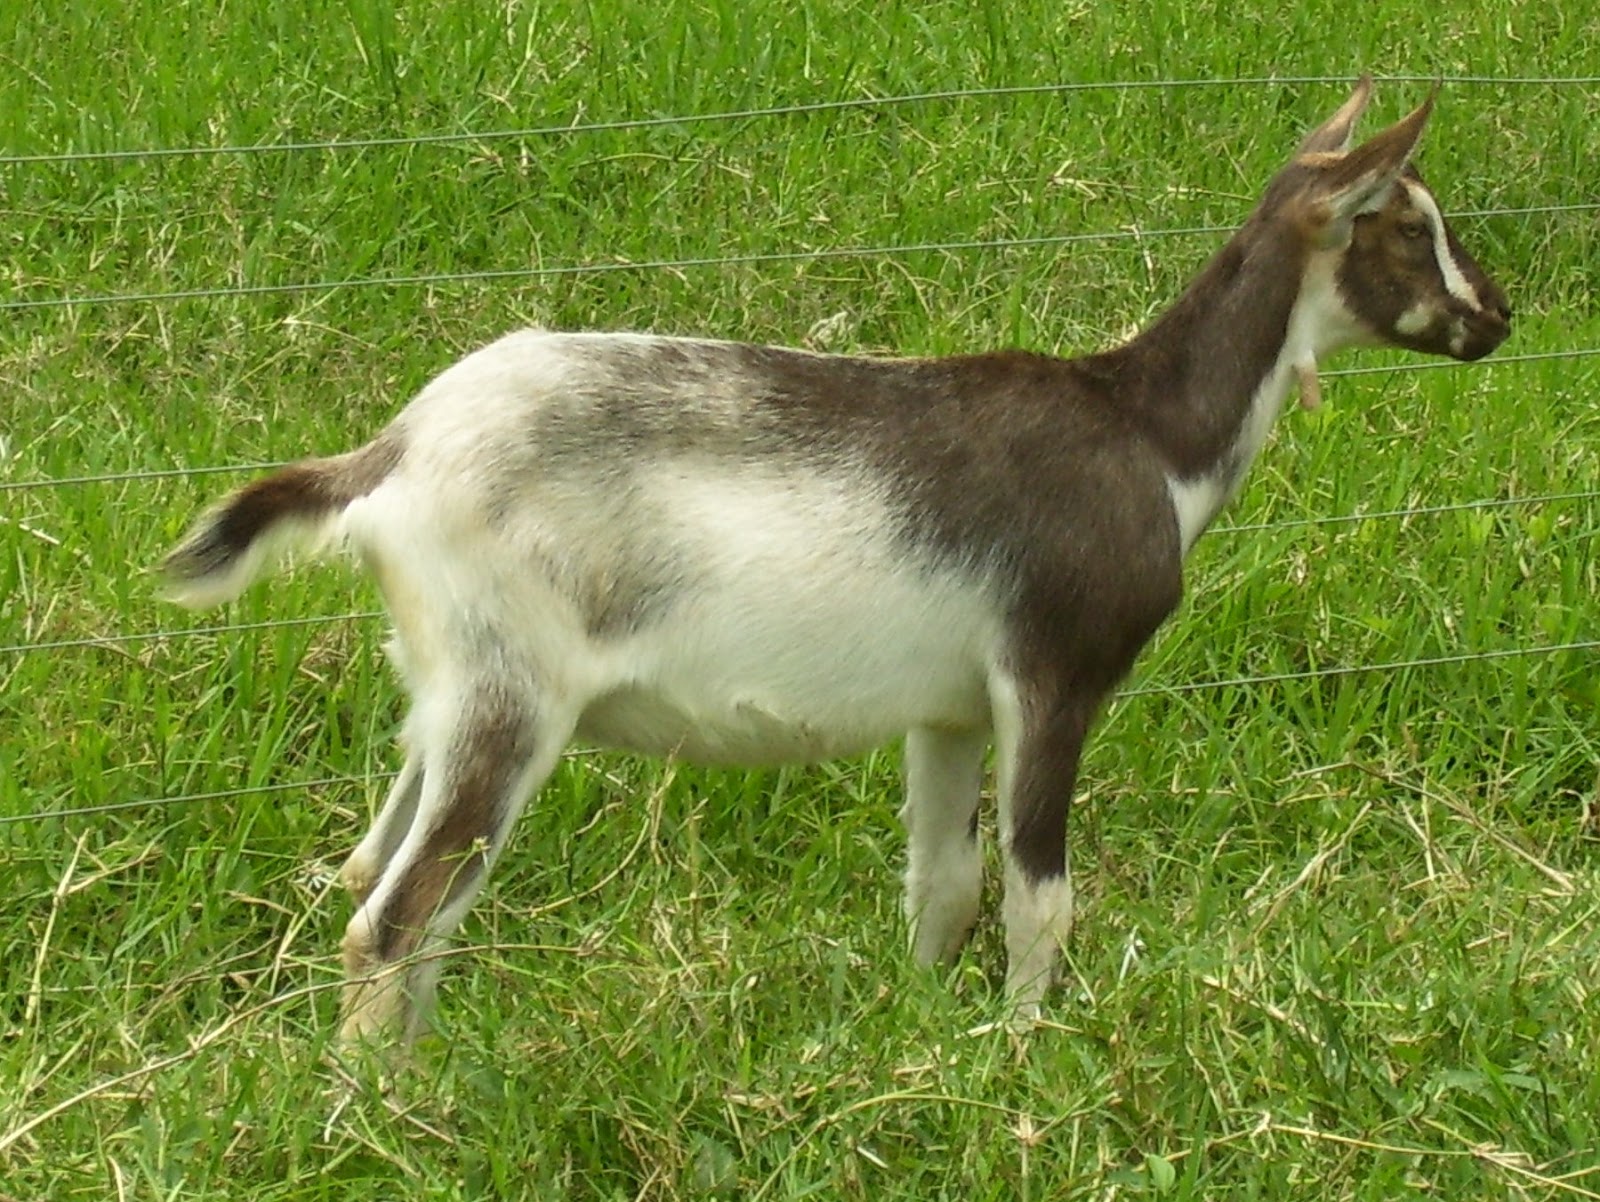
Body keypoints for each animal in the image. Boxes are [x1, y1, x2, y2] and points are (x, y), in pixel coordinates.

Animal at [158, 78, 1510, 1044]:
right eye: (1410, 224)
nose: (1495, 320)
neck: (1144, 429)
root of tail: (393, 452)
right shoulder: (1051, 678)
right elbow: (1040, 896)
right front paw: (1022, 1056)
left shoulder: (947, 710)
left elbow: (942, 888)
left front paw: (915, 1035)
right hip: (511, 705)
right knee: (395, 919)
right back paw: (378, 1117)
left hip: (443, 703)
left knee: (375, 880)